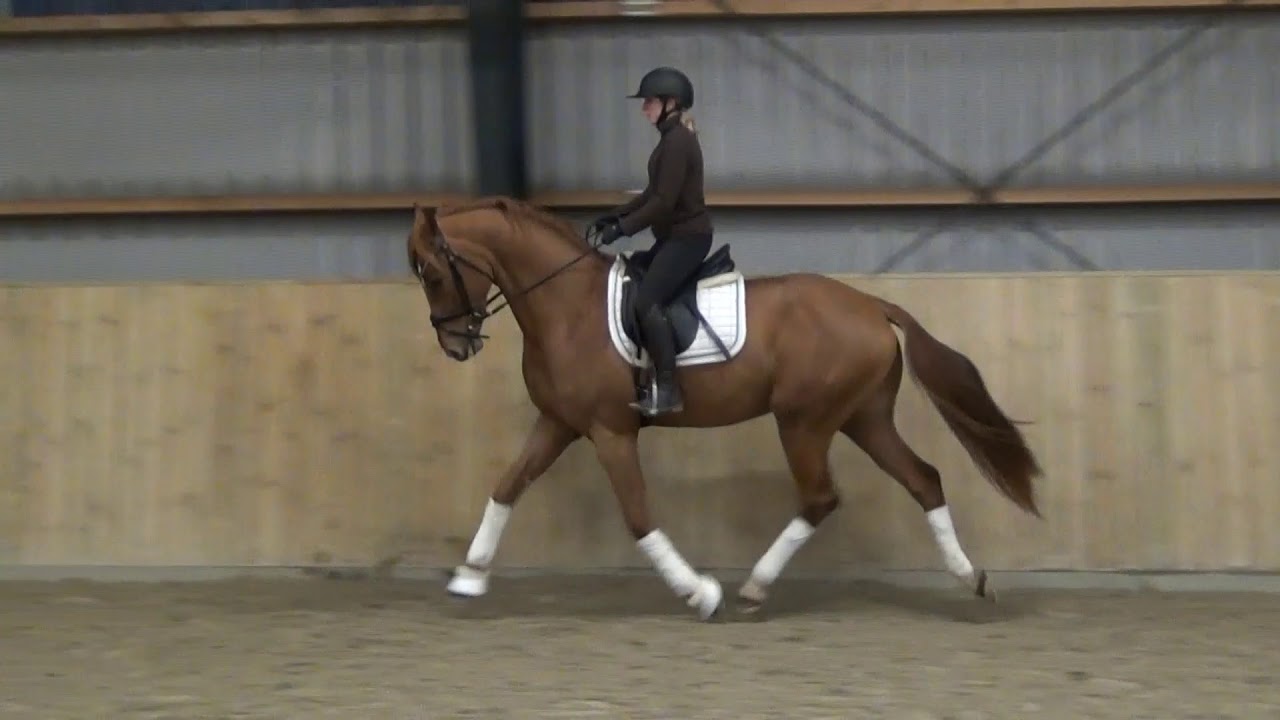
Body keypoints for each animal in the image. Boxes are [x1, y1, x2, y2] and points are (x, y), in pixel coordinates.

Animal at [406, 196, 1042, 621]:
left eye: (433, 273)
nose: (456, 345)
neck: (567, 307)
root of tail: (870, 304)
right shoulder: (559, 423)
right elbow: (506, 487)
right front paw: (470, 576)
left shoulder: (610, 432)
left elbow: (638, 516)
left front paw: (699, 592)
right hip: (863, 418)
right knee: (922, 479)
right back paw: (972, 579)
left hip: (805, 422)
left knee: (822, 497)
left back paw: (753, 588)